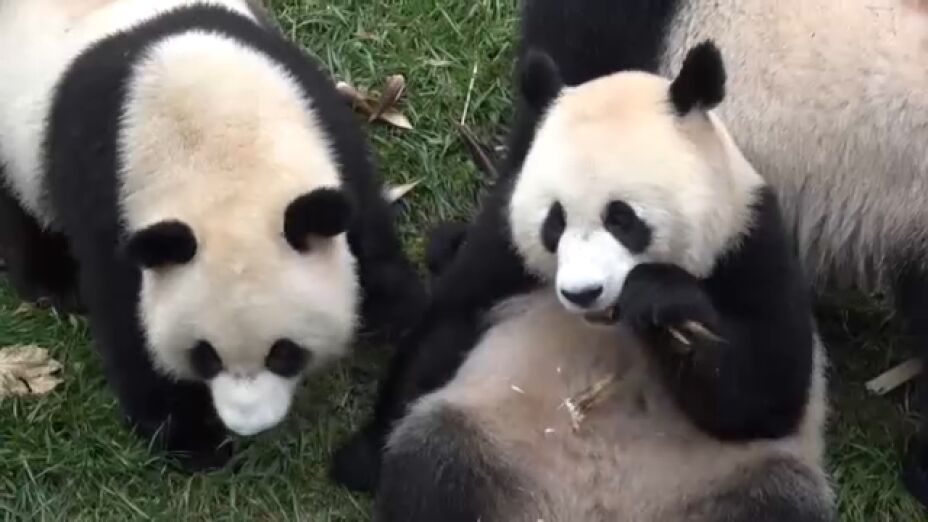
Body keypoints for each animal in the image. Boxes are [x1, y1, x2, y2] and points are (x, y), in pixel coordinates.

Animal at [0, 0, 425, 469]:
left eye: (283, 352)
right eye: (206, 356)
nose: (250, 425)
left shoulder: (321, 120)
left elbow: (366, 233)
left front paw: (396, 317)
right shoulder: (106, 194)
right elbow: (127, 320)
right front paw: (193, 438)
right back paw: (51, 282)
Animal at [370, 42, 834, 521]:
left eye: (622, 219)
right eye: (554, 222)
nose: (582, 293)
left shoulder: (751, 237)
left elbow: (768, 389)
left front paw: (660, 298)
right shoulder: (502, 244)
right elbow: (448, 321)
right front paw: (360, 459)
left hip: (724, 481)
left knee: (777, 496)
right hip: (495, 439)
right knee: (433, 460)